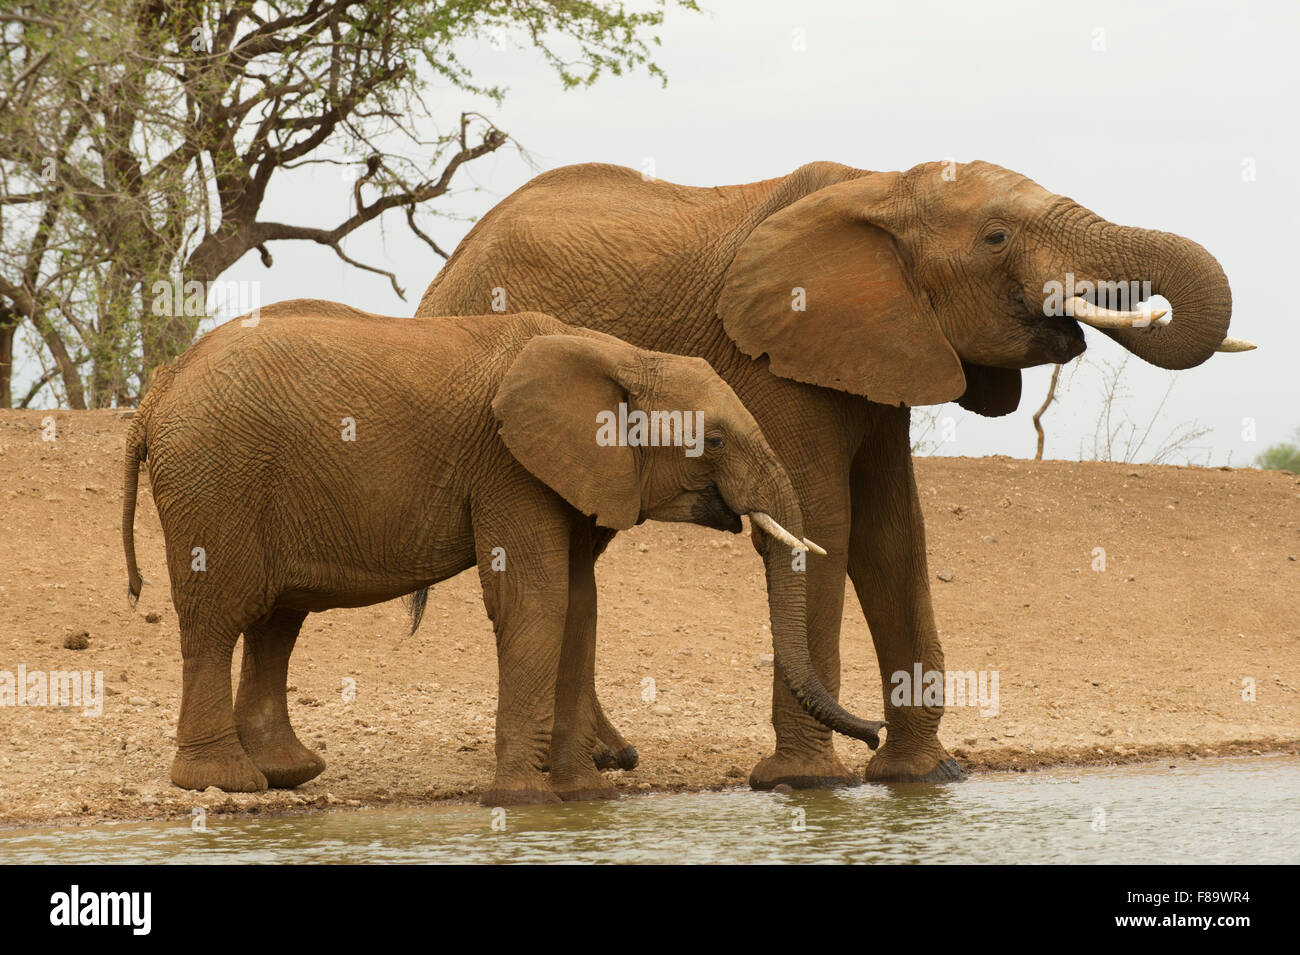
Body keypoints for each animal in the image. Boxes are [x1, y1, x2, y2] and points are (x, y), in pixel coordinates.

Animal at [121, 300, 884, 804]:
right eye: (715, 440)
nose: (875, 733)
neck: (622, 354)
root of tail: (156, 393)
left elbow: (580, 602)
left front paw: (583, 797)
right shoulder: (508, 464)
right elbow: (534, 598)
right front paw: (523, 800)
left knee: (277, 621)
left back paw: (288, 774)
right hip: (214, 478)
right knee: (220, 616)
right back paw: (225, 782)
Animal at [414, 159, 1253, 788]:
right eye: (997, 236)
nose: (869, 731)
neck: (881, 186)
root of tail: (444, 275)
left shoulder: (886, 351)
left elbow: (894, 537)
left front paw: (925, 775)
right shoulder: (777, 354)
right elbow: (825, 525)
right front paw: (809, 782)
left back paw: (606, 758)